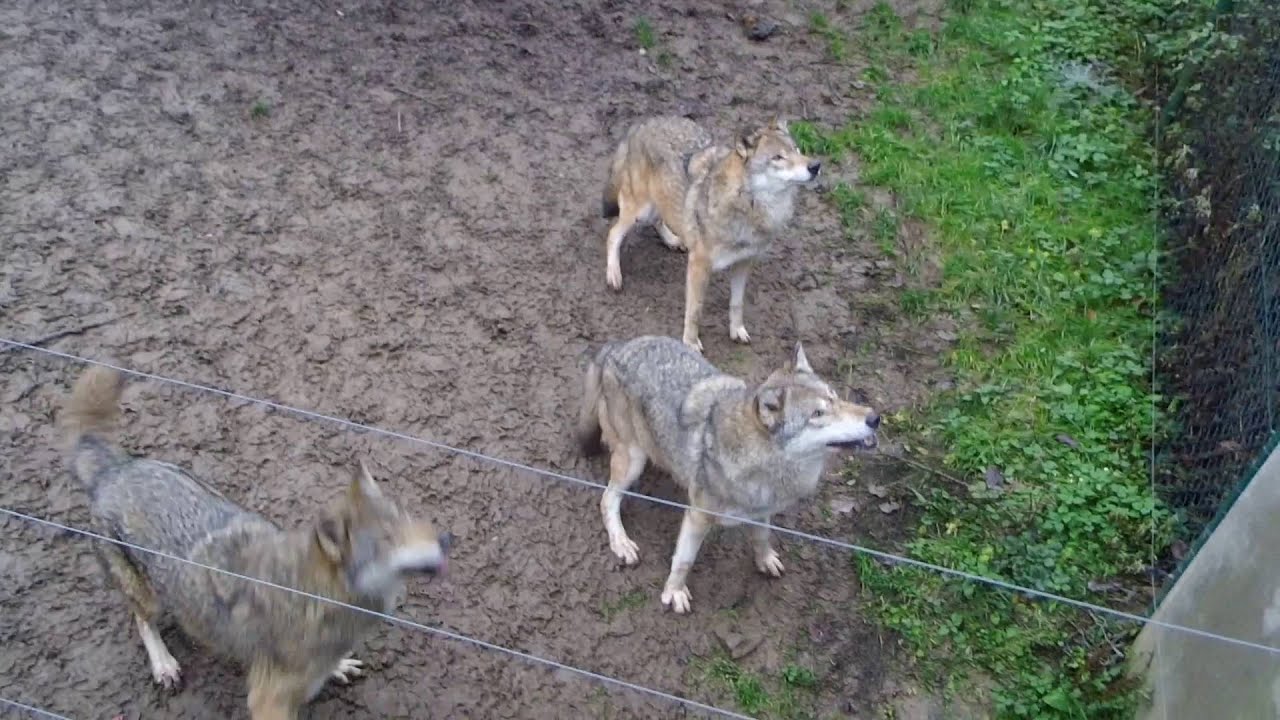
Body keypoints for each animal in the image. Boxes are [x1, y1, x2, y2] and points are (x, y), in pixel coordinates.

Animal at [61, 365, 453, 720]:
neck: (318, 597)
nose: (447, 538)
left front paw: (338, 666)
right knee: (142, 621)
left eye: (410, 518)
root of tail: (115, 469)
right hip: (149, 597)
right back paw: (164, 665)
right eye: (389, 539)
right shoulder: (268, 702)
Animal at [575, 336, 879, 614]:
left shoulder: (761, 508)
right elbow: (684, 560)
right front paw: (674, 593)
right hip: (633, 459)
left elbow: (761, 537)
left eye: (835, 396)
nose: (875, 418)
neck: (765, 463)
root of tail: (615, 347)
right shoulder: (698, 516)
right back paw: (621, 543)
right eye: (817, 414)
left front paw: (765, 560)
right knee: (607, 499)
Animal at [600, 116, 821, 352]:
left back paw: (673, 240)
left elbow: (737, 303)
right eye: (777, 158)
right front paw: (690, 343)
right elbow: (695, 310)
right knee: (613, 233)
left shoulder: (744, 262)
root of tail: (641, 124)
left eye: (797, 149)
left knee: (660, 220)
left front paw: (737, 330)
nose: (815, 166)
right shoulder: (699, 265)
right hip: (640, 212)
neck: (749, 206)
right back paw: (613, 274)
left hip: (657, 205)